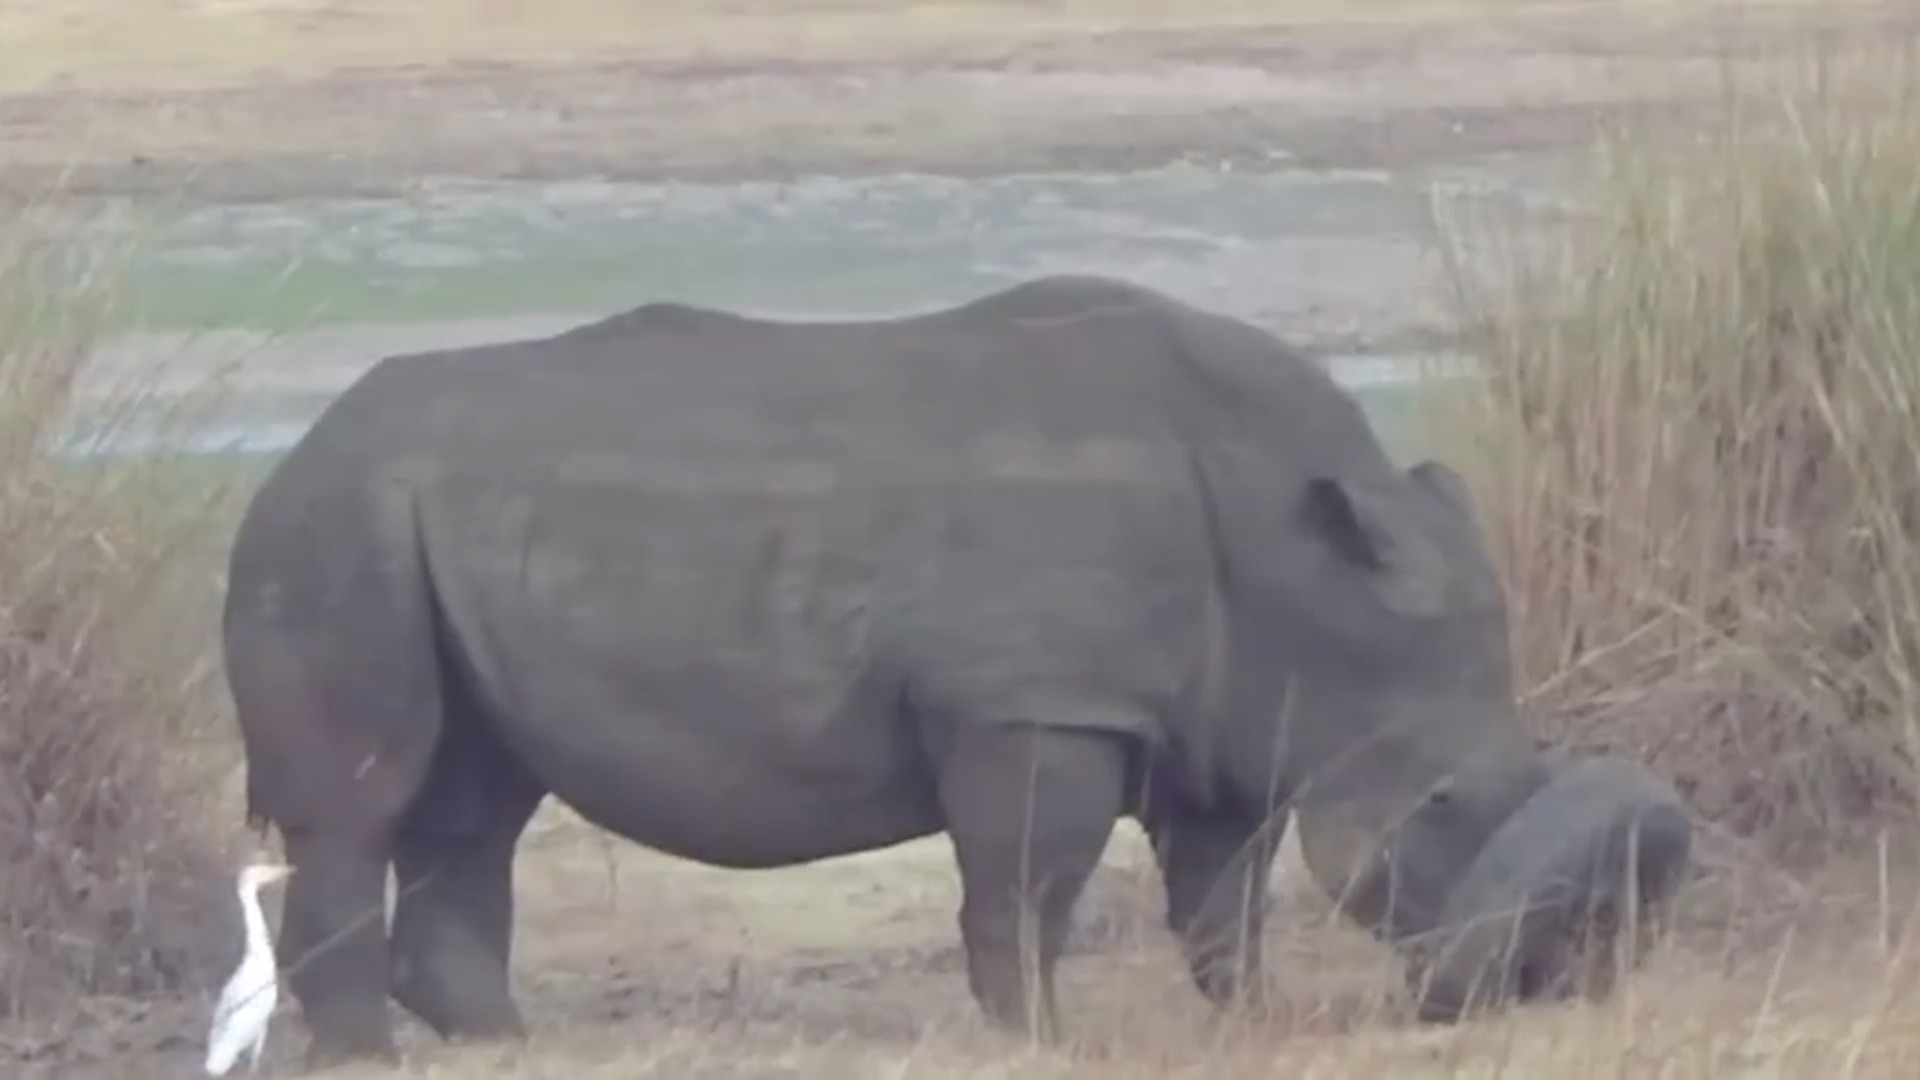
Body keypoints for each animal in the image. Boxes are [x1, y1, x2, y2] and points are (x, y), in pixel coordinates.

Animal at [222, 275, 1692, 1066]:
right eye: (1443, 808)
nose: (1553, 970)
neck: (1307, 564)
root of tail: (293, 450)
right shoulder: (1037, 702)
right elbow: (1027, 882)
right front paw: (1044, 1039)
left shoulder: (1223, 708)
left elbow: (1224, 893)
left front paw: (1256, 1019)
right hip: (335, 520)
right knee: (367, 804)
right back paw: (374, 1061)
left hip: (430, 524)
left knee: (478, 797)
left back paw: (506, 1049)